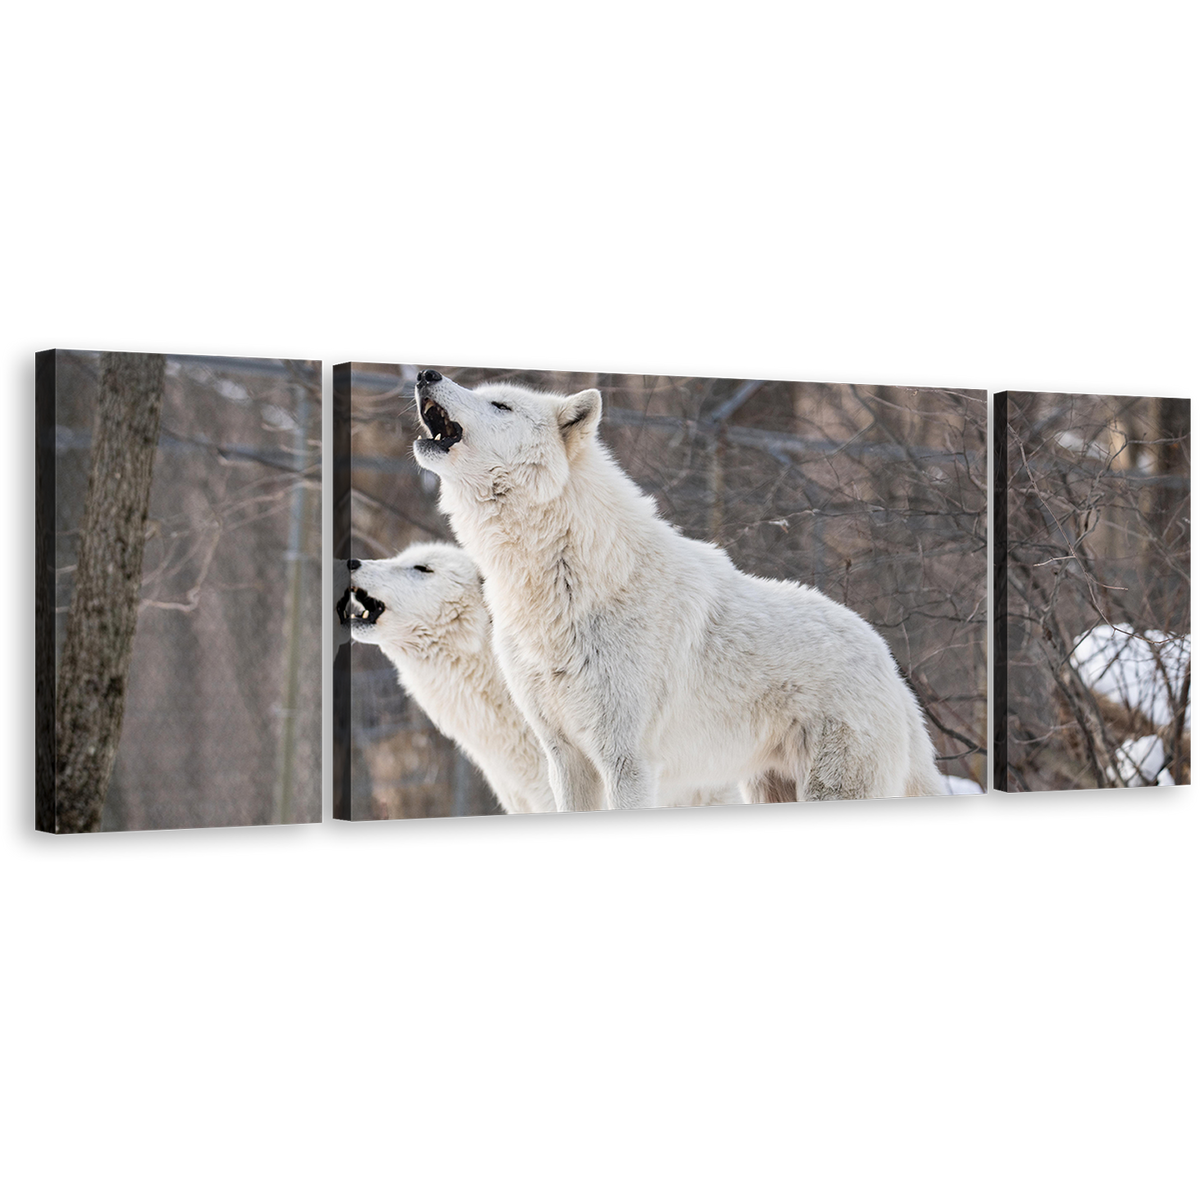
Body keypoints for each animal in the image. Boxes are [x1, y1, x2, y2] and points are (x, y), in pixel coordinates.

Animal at [412, 369, 946, 811]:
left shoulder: (627, 759)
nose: (425, 374)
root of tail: (890, 668)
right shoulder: (564, 755)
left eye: (500, 405)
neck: (565, 581)